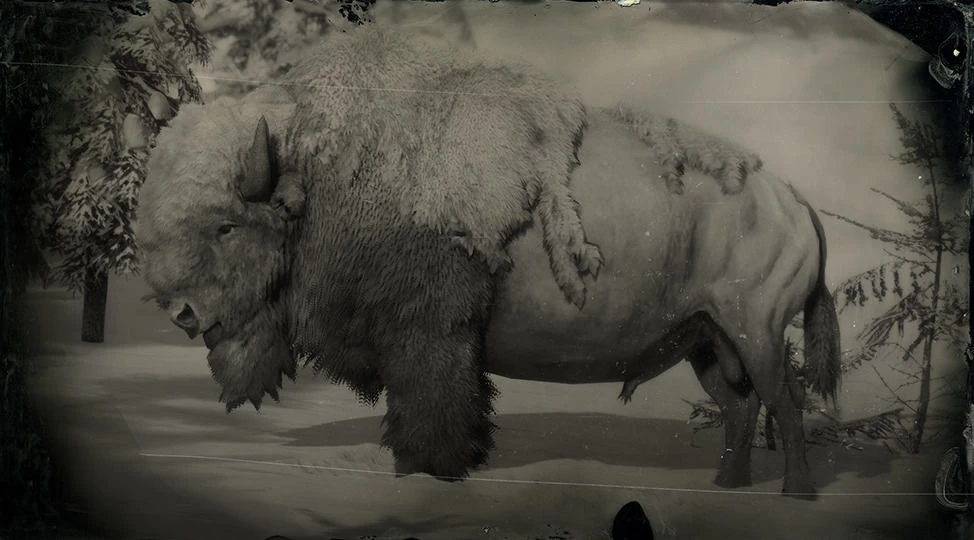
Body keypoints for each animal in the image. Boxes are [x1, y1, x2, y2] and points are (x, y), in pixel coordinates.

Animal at [137, 28, 840, 499]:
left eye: (226, 225)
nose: (182, 313)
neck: (315, 171)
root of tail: (792, 198)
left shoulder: (430, 338)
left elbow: (433, 414)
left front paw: (428, 474)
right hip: (703, 340)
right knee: (742, 406)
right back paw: (726, 485)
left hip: (756, 330)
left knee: (784, 400)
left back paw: (795, 493)